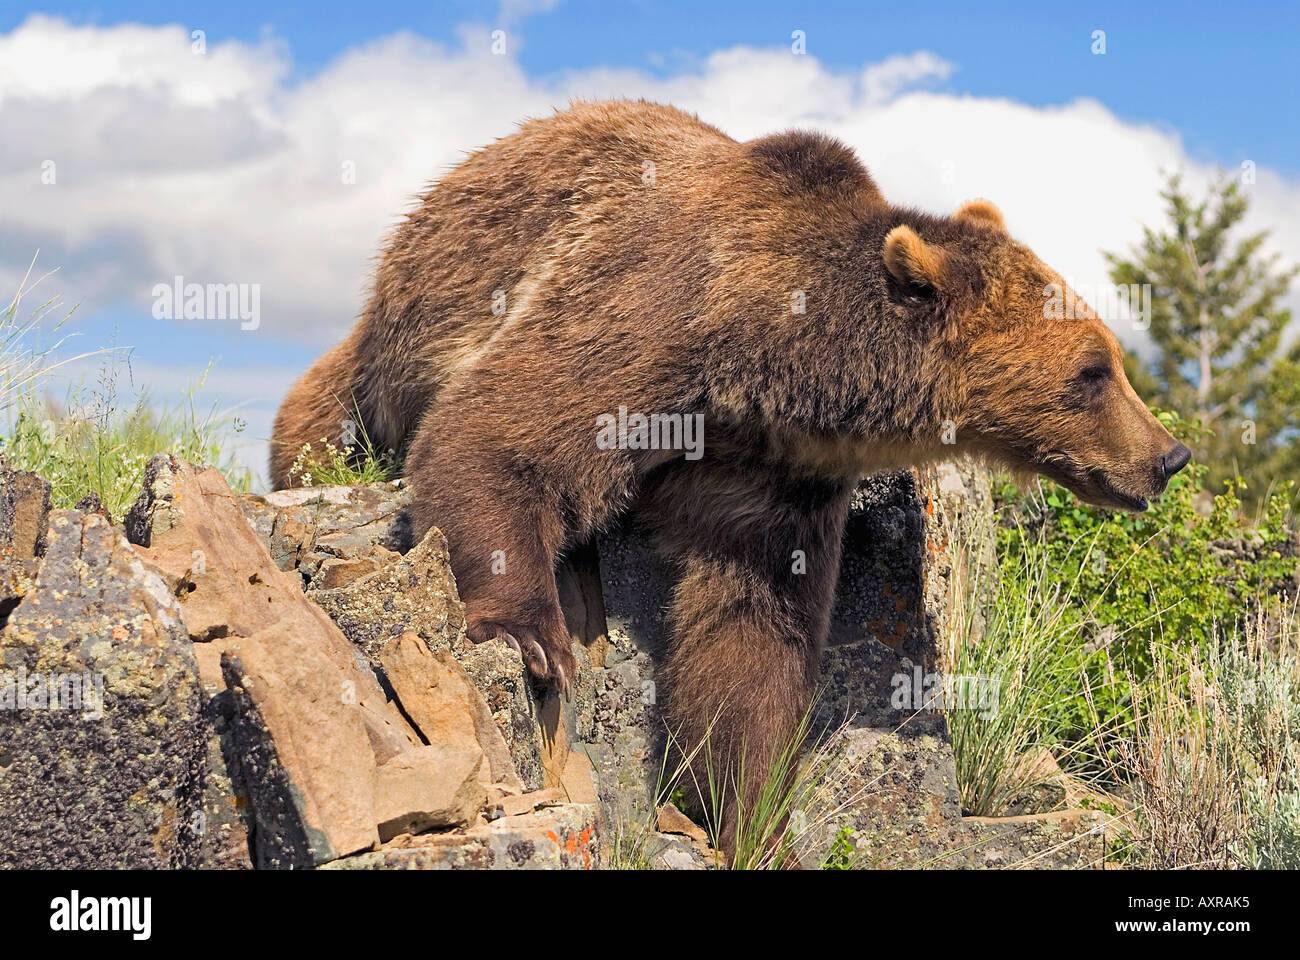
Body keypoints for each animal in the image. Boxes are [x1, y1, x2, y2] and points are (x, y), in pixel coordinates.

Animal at [272, 100, 1190, 855]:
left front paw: (750, 812)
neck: (767, 362)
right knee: (321, 414)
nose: (1167, 457)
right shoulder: (648, 314)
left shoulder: (771, 474)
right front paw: (535, 637)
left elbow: (749, 634)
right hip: (384, 348)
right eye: (1093, 370)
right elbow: (500, 431)